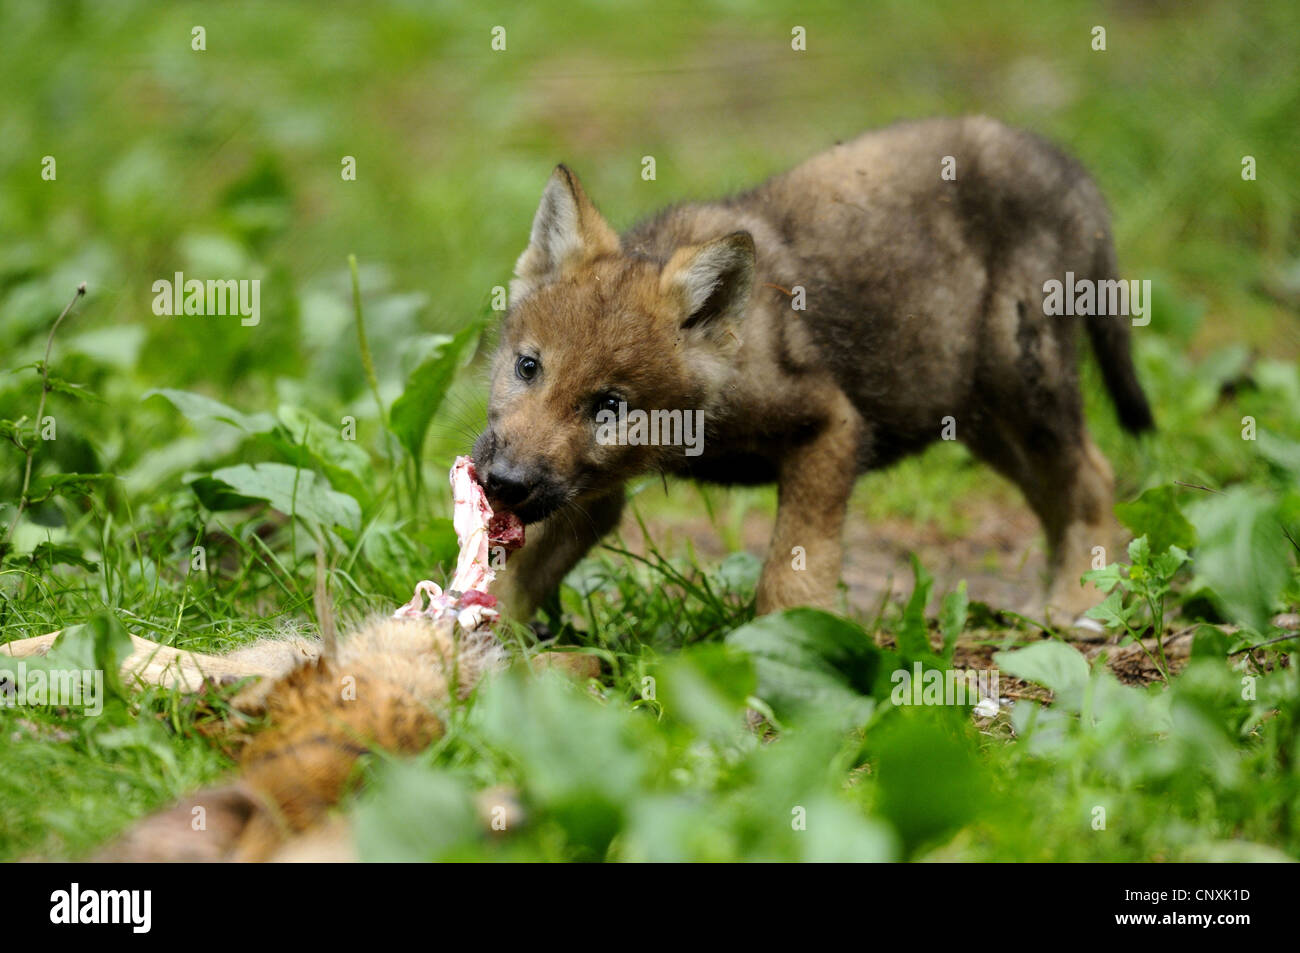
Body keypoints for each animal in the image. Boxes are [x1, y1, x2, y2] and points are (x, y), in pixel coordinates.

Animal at [473, 116, 1153, 626]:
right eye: (528, 367)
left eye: (610, 407)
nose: (502, 483)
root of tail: (1070, 171)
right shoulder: (587, 494)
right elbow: (510, 582)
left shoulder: (833, 427)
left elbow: (792, 572)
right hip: (976, 415)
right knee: (1060, 493)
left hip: (1024, 378)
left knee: (1093, 478)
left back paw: (1076, 607)